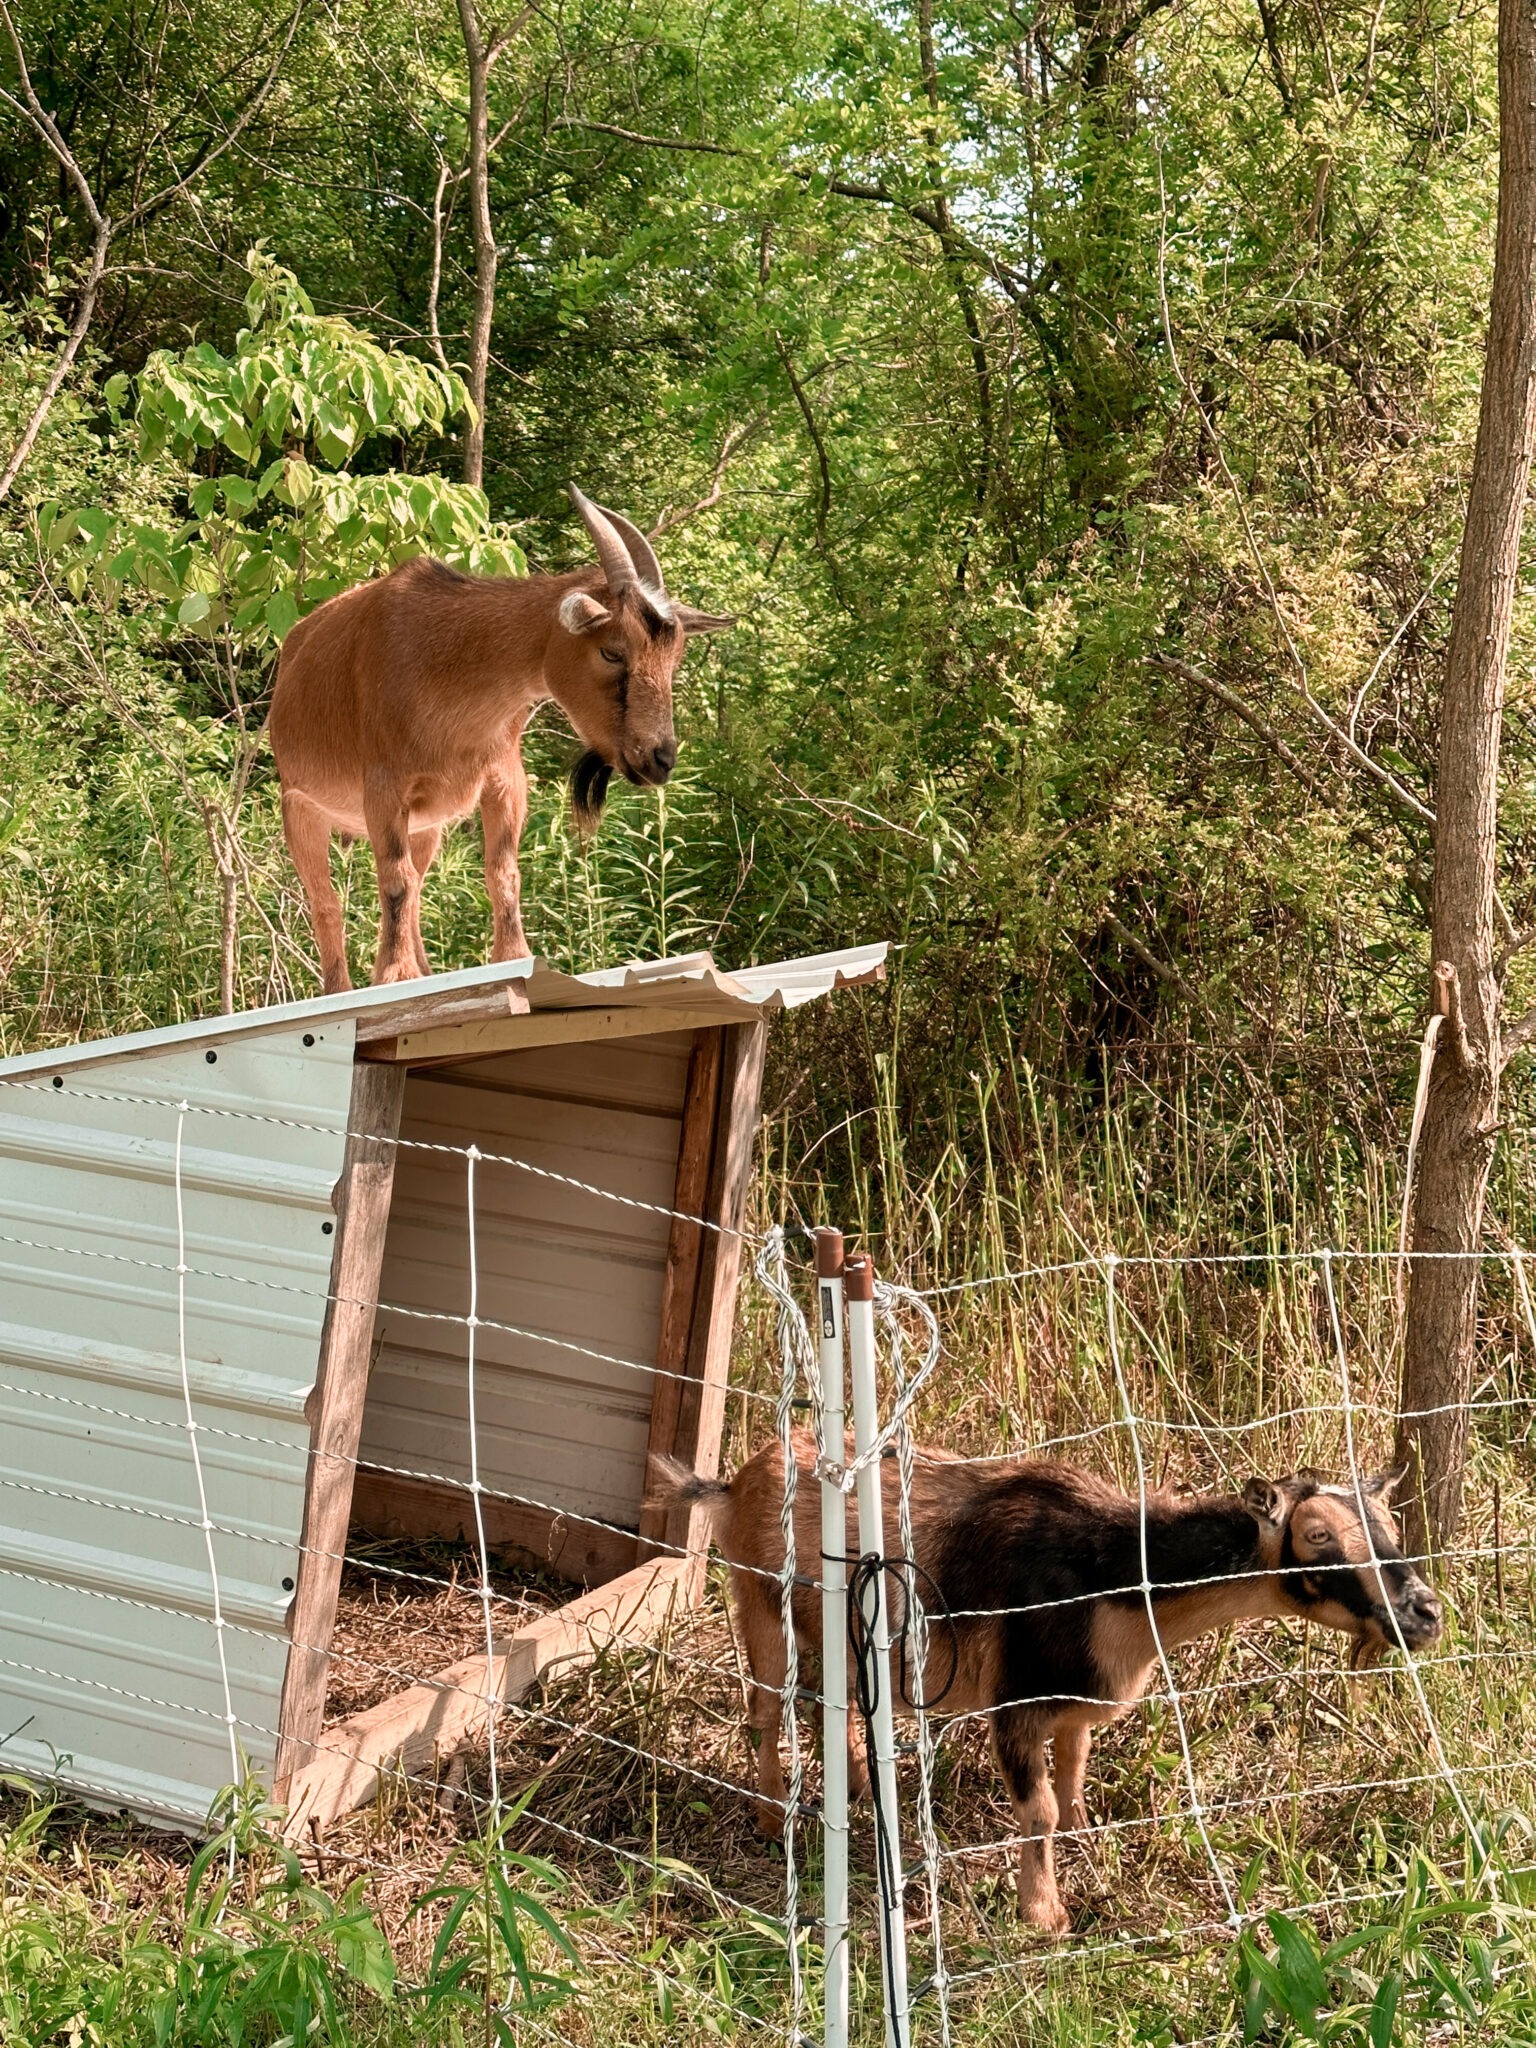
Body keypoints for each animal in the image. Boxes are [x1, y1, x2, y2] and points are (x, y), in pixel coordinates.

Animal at [268, 487, 732, 991]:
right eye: (612, 652)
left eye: (675, 657)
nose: (660, 758)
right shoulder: (383, 789)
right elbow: (394, 878)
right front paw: (394, 974)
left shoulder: (504, 778)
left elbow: (501, 872)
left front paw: (513, 957)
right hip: (301, 810)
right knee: (328, 903)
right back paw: (343, 987)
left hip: (426, 826)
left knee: (416, 887)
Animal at [651, 1433, 1443, 1934]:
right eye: (1318, 1536)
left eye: (1389, 1524)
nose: (1426, 1612)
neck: (1114, 1576)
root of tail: (735, 1480)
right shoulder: (1017, 1702)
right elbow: (1038, 1811)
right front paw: (1045, 1915)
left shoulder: (1078, 1703)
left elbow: (1076, 1771)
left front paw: (1090, 1839)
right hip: (760, 1606)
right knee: (766, 1708)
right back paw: (769, 1818)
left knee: (835, 1714)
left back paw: (864, 1804)